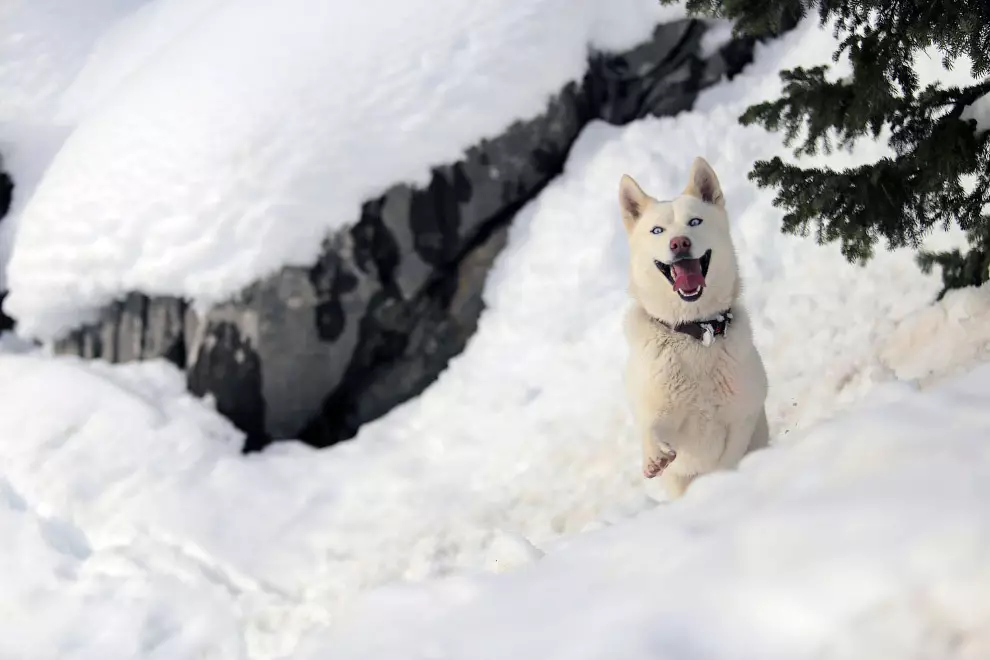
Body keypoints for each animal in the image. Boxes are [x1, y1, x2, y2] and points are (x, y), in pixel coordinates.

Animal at [616, 159, 772, 500]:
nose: (680, 243)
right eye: (657, 230)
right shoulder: (667, 415)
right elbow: (651, 427)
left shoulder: (741, 418)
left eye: (695, 221)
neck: (696, 333)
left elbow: (729, 458)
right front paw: (653, 456)